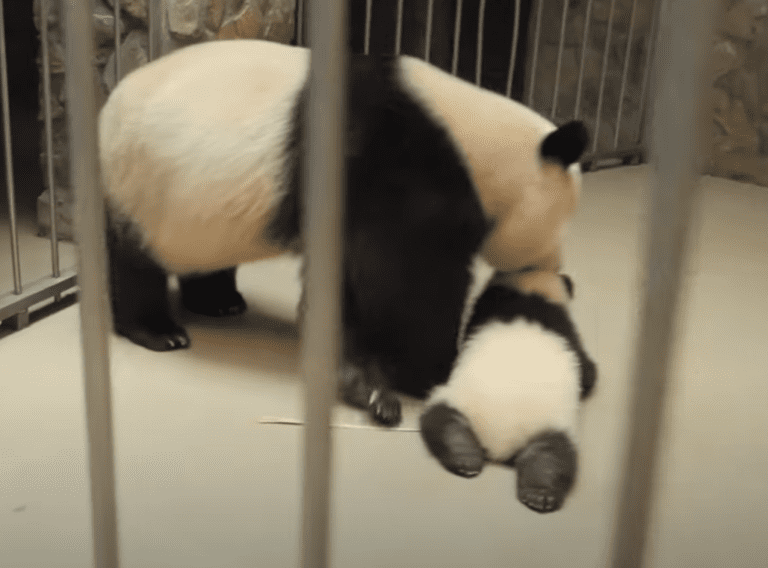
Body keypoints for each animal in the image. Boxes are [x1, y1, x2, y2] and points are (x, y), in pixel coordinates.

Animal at [97, 38, 589, 427]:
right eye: (560, 223)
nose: (555, 268)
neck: (475, 143)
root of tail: (106, 108)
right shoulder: (398, 172)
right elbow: (409, 283)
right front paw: (429, 370)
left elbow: (355, 284)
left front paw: (364, 374)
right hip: (140, 180)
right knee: (135, 263)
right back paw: (158, 331)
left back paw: (219, 302)